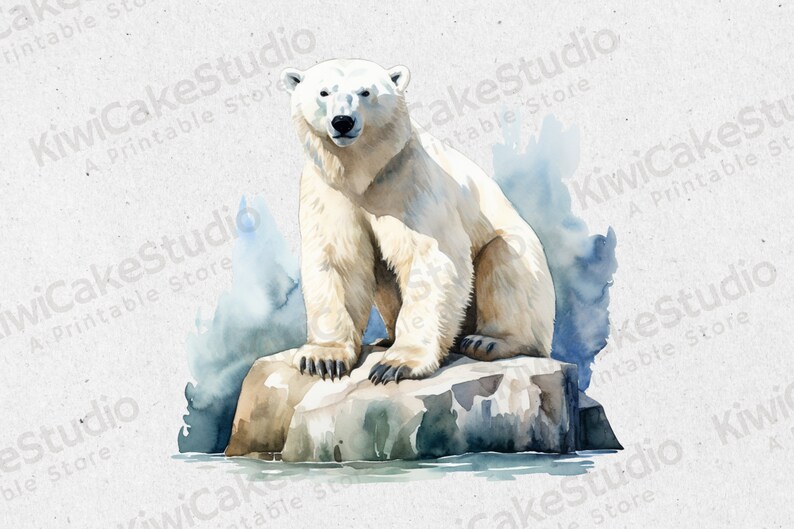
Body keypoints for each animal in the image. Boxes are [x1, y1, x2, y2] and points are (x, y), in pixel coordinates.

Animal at [280, 58, 555, 384]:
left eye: (365, 92)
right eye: (324, 92)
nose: (342, 122)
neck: (362, 172)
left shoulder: (410, 179)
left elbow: (430, 259)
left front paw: (396, 364)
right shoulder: (329, 190)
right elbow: (339, 260)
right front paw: (322, 359)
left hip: (523, 258)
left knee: (505, 263)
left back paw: (487, 341)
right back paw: (386, 338)